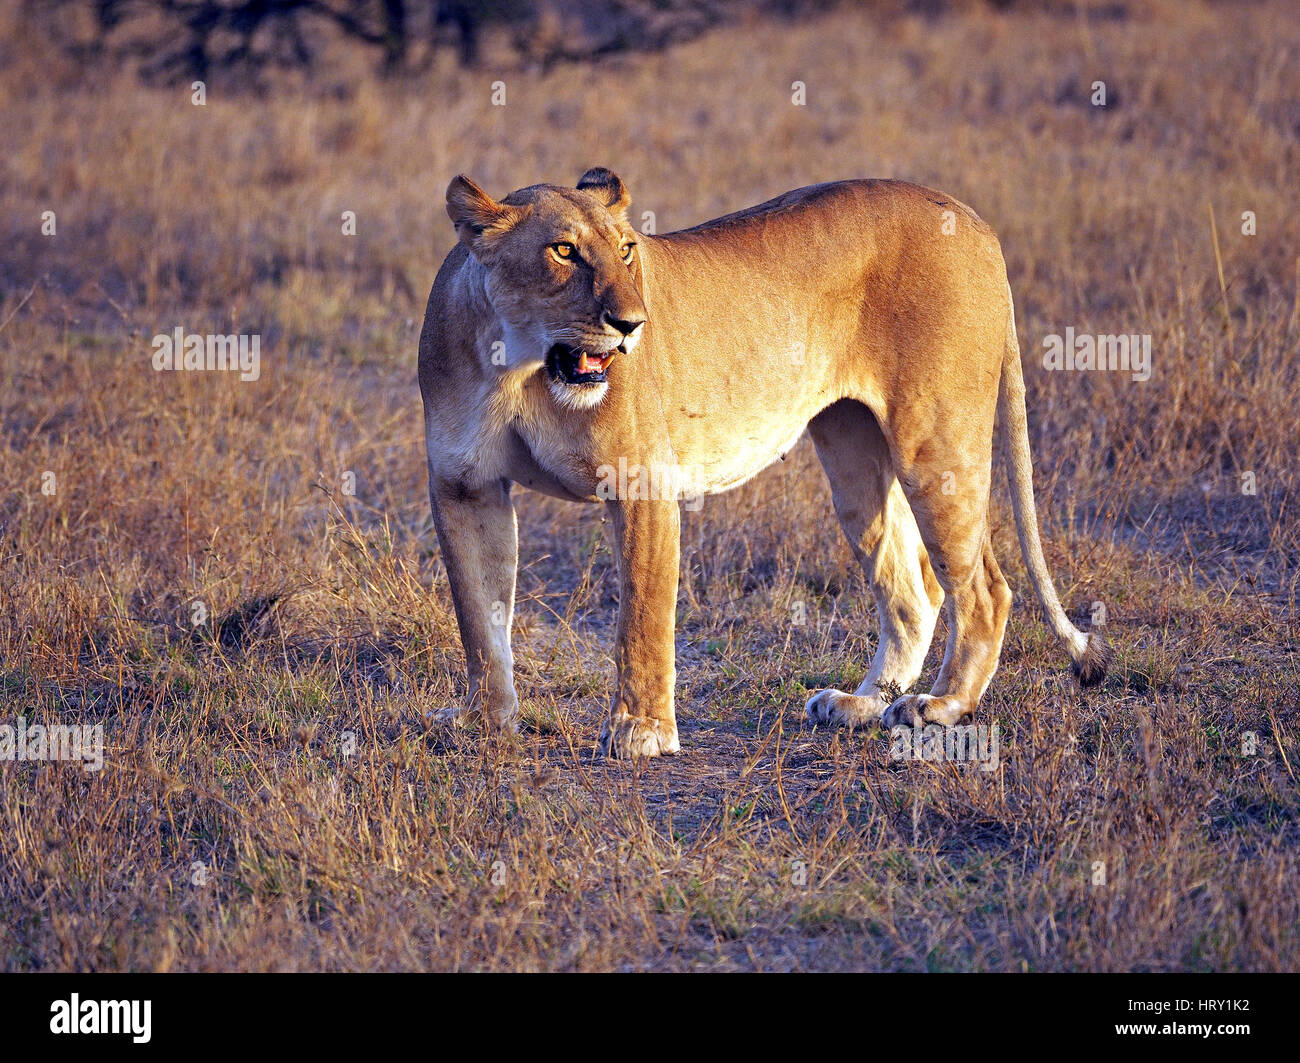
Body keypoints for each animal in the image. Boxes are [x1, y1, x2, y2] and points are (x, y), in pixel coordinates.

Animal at [418, 168, 1109, 758]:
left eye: (628, 250)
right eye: (563, 251)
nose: (632, 323)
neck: (518, 365)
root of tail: (974, 220)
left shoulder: (642, 482)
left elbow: (642, 616)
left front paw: (642, 732)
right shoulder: (464, 487)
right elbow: (479, 616)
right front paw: (483, 721)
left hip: (936, 441)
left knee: (985, 589)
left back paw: (939, 707)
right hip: (853, 456)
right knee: (915, 586)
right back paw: (860, 705)